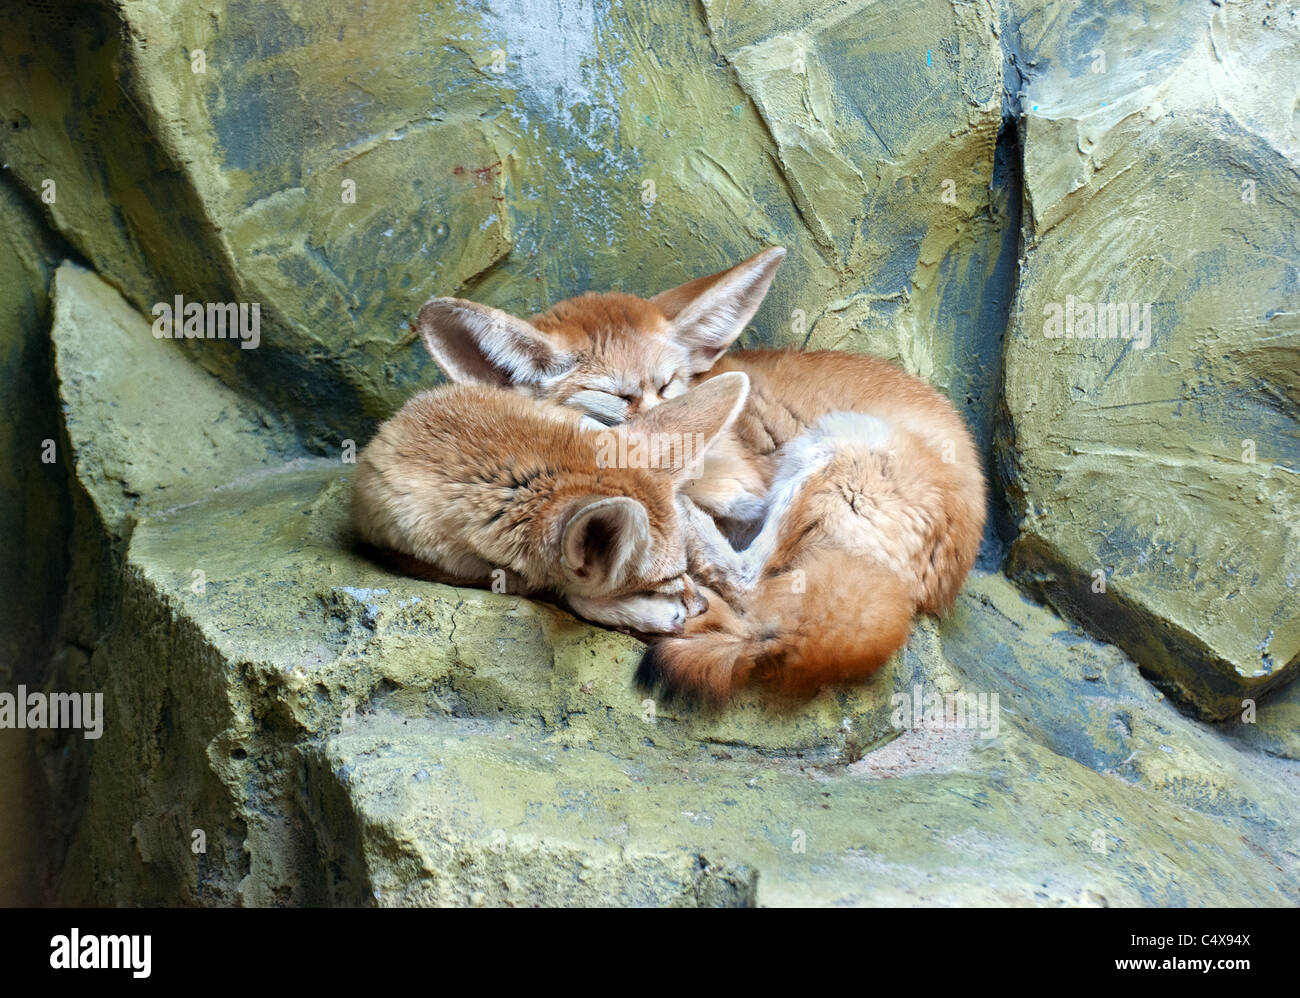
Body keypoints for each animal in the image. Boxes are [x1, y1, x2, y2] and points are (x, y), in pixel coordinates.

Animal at [413, 247, 987, 702]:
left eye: (668, 386)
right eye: (616, 397)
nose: (669, 435)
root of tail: (933, 590)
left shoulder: (746, 489)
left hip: (833, 443)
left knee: (749, 584)